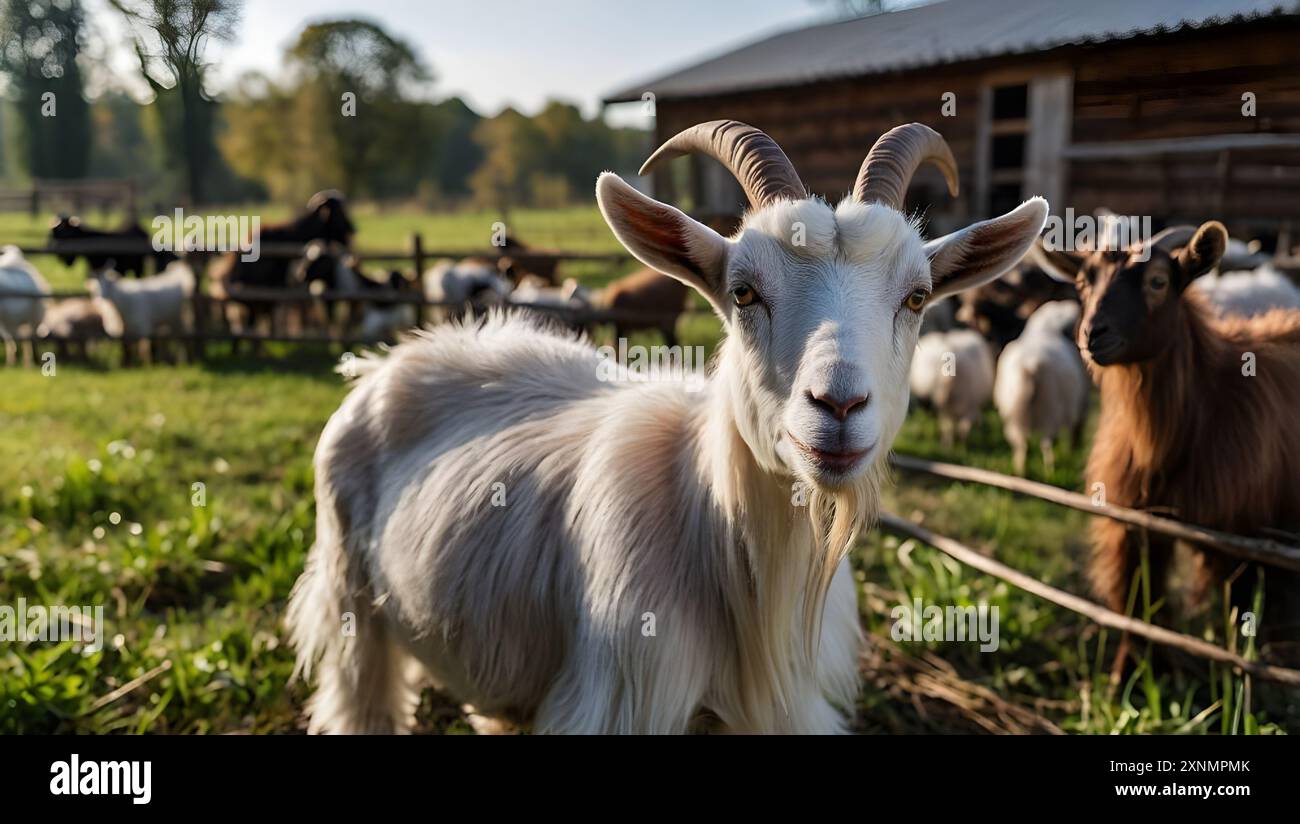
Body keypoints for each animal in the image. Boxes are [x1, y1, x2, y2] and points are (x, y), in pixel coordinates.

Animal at [993, 301, 1090, 475]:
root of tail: (1031, 367)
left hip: (1014, 415)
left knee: (1021, 443)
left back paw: (1020, 469)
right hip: (1049, 411)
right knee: (1046, 442)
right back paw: (1050, 470)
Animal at [1033, 223, 1300, 656]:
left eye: (1158, 281)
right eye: (1083, 282)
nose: (1093, 334)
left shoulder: (1251, 540)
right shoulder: (1136, 525)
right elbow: (1139, 612)